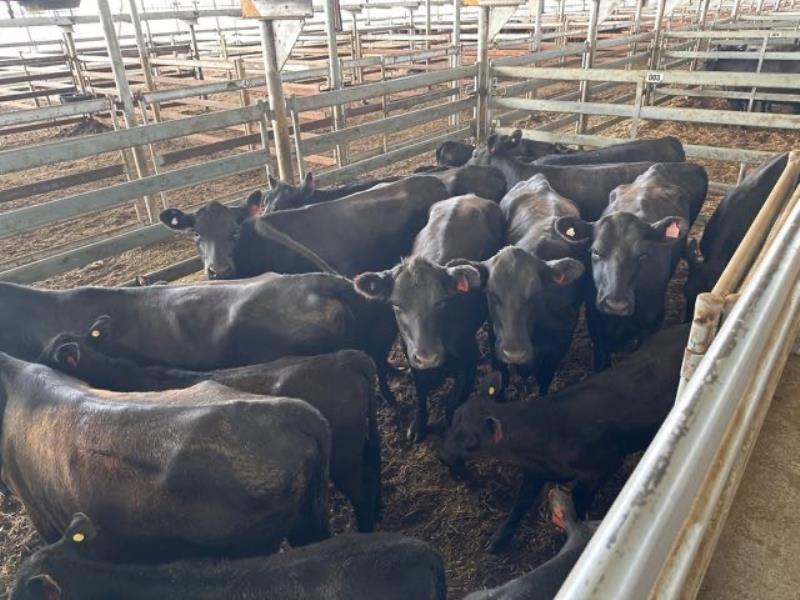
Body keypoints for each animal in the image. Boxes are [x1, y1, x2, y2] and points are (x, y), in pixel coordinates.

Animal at [354, 195, 504, 441]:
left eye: (442, 302)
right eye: (396, 305)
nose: (427, 357)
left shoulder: (468, 362)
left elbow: (453, 404)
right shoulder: (412, 359)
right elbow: (421, 395)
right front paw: (418, 425)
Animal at [442, 324, 688, 552]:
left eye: (470, 441)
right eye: (454, 418)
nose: (444, 454)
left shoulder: (603, 467)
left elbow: (577, 503)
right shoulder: (536, 471)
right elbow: (520, 504)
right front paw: (498, 539)